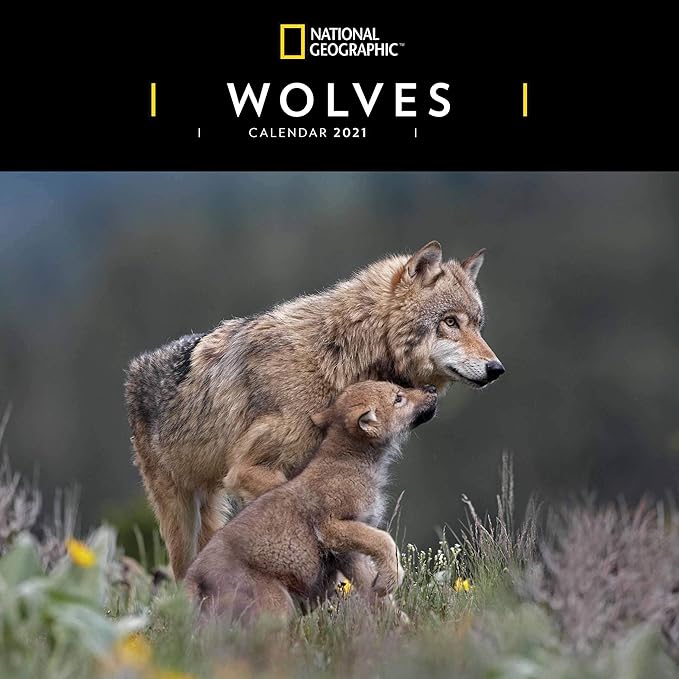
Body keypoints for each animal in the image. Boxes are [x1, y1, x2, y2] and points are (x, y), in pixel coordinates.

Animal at [125, 241, 504, 578]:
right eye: (451, 322)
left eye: (477, 324)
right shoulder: (248, 470)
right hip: (178, 514)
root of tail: (137, 366)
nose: (496, 368)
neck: (336, 357)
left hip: (211, 504)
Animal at [185, 380, 438, 623]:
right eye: (399, 398)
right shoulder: (332, 526)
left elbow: (373, 590)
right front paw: (392, 579)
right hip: (277, 605)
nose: (432, 388)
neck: (353, 462)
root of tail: (193, 575)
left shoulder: (348, 553)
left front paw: (399, 621)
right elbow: (385, 541)